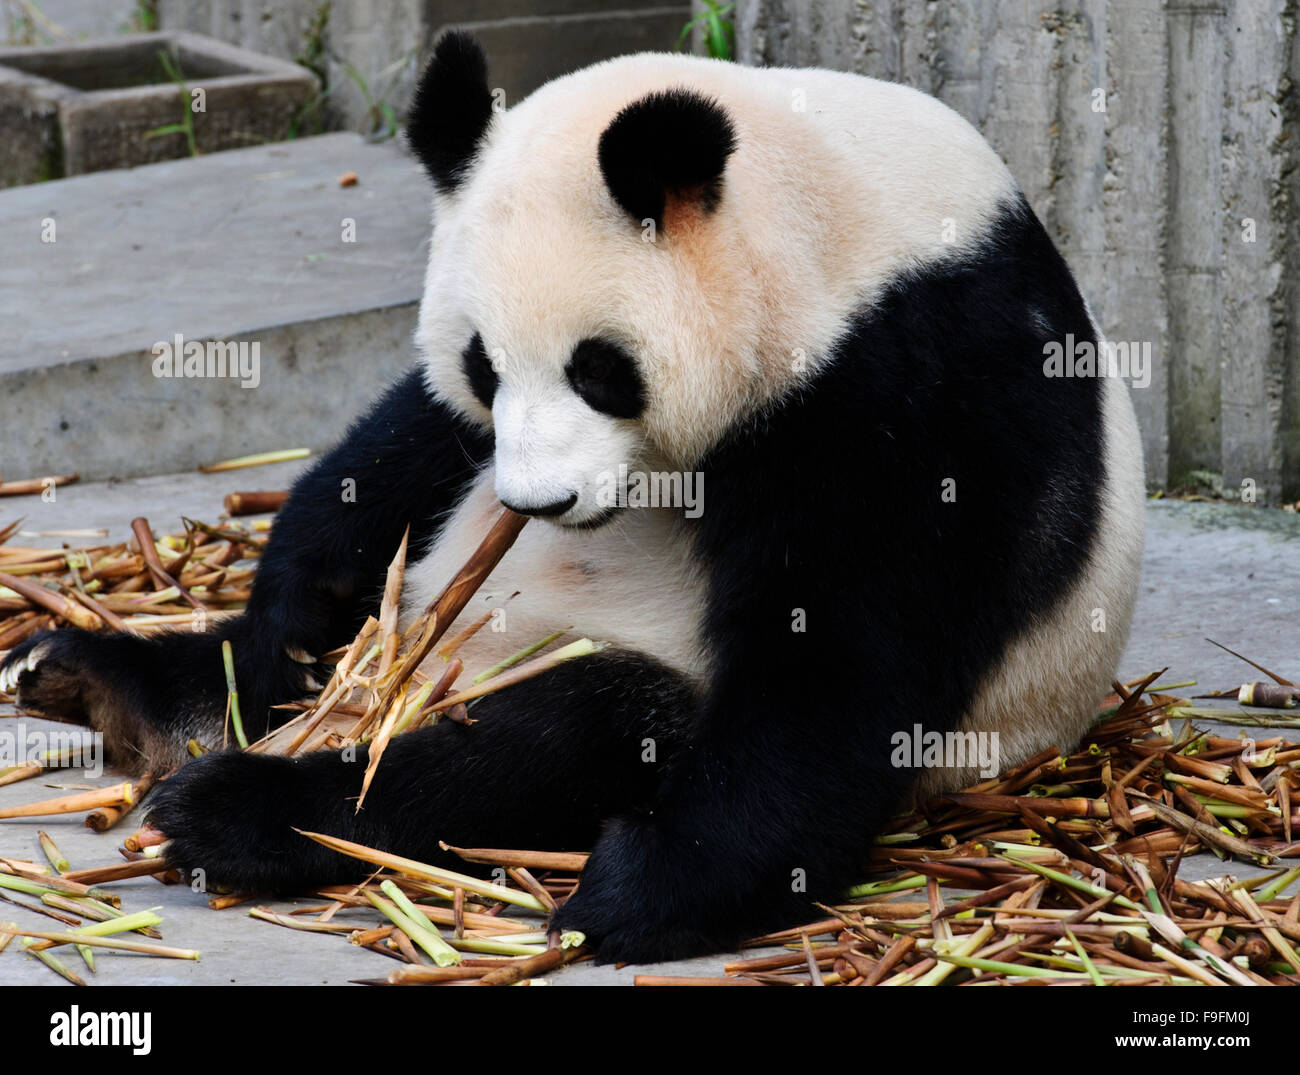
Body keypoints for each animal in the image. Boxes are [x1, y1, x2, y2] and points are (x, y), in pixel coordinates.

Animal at [0, 31, 1145, 962]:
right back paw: (106, 677)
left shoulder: (916, 380)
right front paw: (296, 602)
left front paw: (649, 894)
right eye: (484, 364)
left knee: (563, 738)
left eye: (600, 370)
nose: (539, 501)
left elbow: (840, 664)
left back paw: (246, 811)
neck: (831, 215)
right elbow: (388, 462)